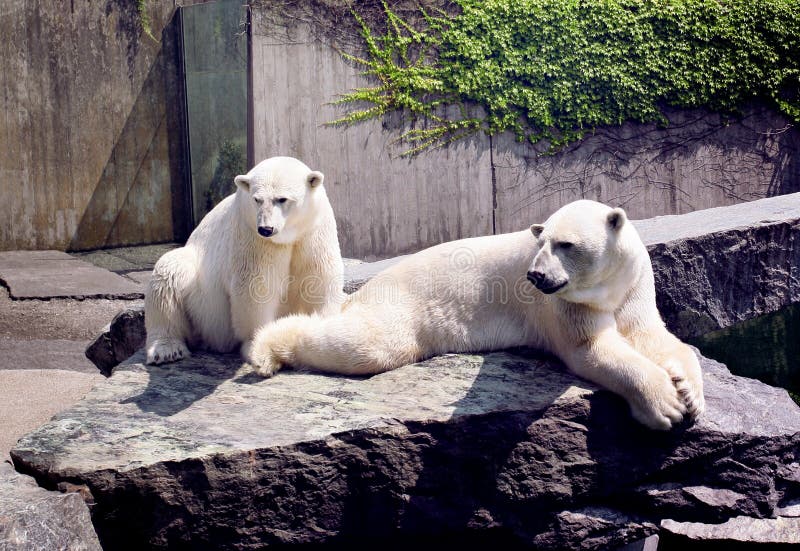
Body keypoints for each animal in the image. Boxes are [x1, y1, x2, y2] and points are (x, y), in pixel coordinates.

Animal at [144, 156, 344, 365]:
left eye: (282, 199)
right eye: (257, 199)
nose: (266, 229)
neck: (287, 236)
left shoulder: (313, 232)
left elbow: (318, 279)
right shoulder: (252, 235)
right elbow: (257, 286)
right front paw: (258, 345)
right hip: (199, 294)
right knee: (169, 274)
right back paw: (167, 349)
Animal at [245, 199, 704, 431]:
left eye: (566, 244)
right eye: (542, 241)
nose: (536, 275)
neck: (605, 288)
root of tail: (367, 290)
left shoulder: (634, 283)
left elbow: (653, 335)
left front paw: (691, 394)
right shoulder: (565, 303)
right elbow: (592, 349)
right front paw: (666, 406)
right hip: (400, 306)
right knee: (366, 346)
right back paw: (268, 348)